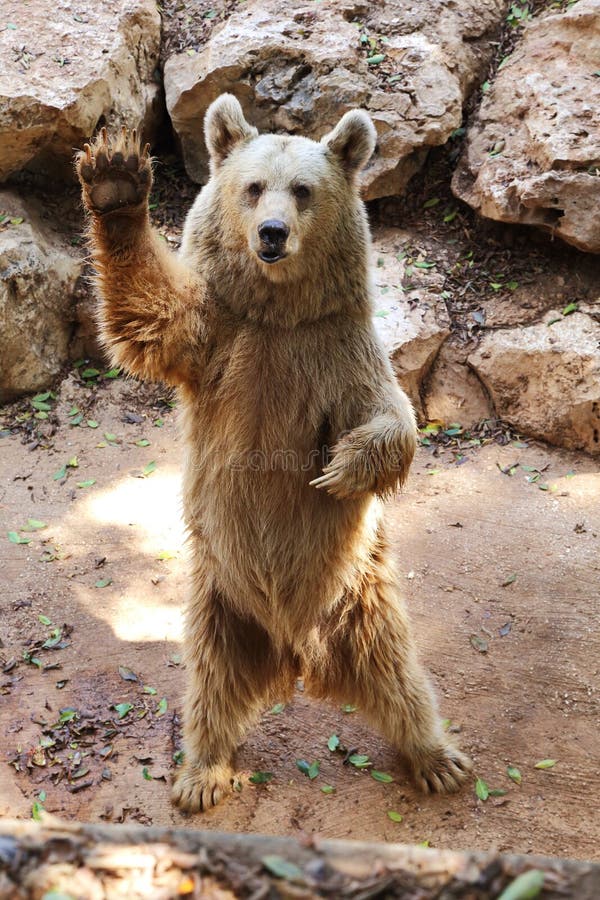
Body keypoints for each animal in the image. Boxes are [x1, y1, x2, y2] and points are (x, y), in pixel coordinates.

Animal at [75, 95, 472, 812]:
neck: (278, 312)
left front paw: (339, 469)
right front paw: (116, 178)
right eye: (254, 186)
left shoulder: (336, 351)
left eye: (304, 190)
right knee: (210, 685)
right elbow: (151, 314)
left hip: (359, 596)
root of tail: (296, 655)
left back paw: (437, 758)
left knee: (401, 676)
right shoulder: (219, 336)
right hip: (219, 598)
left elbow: (392, 418)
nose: (271, 234)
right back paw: (201, 772)